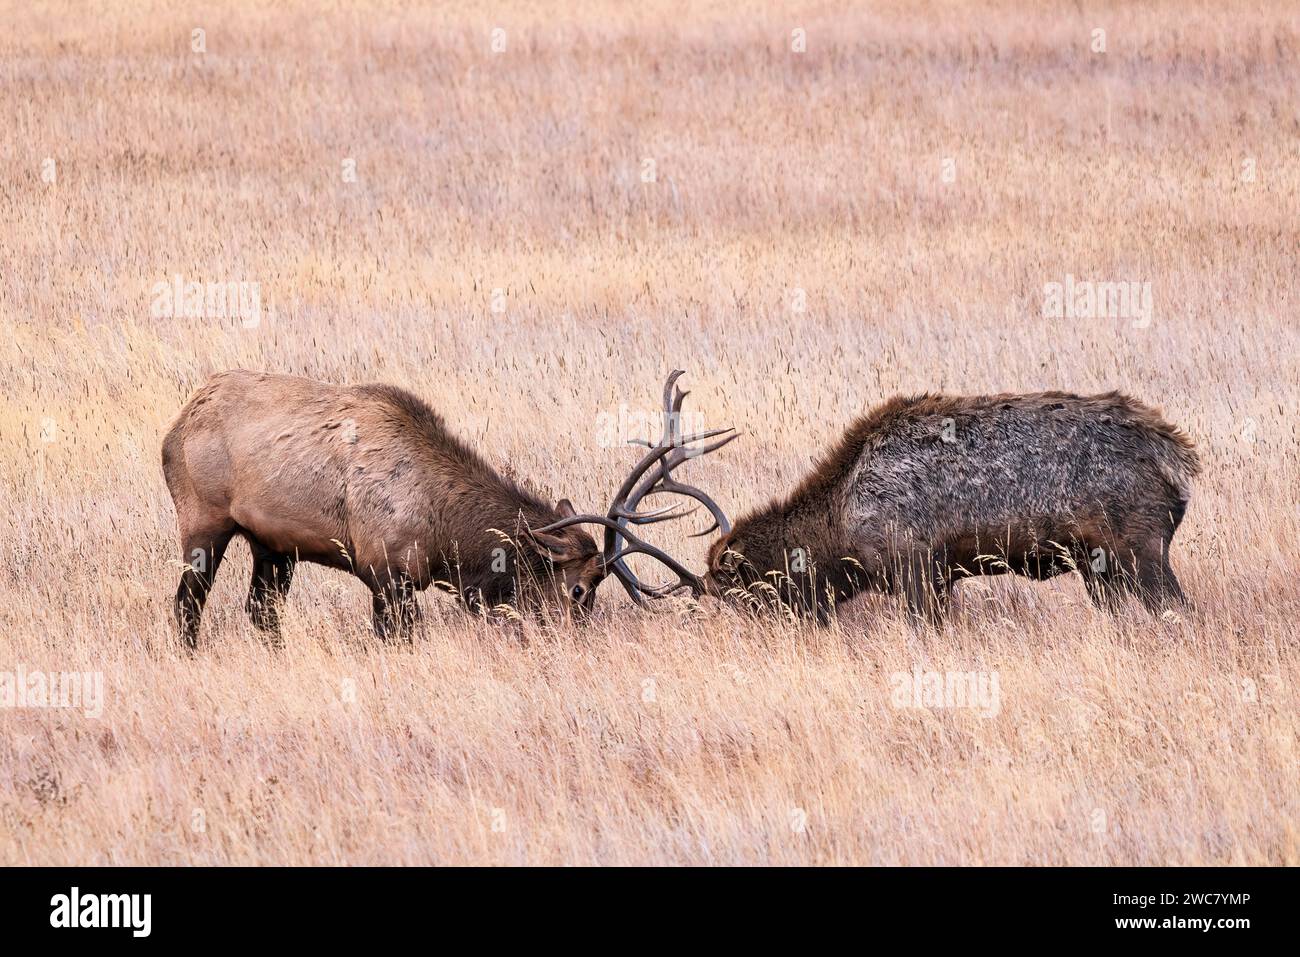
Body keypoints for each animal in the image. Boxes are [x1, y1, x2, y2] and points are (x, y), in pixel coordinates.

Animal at [161, 370, 734, 647]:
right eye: (578, 590)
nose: (575, 640)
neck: (448, 542)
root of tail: (175, 426)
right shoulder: (385, 574)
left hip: (273, 546)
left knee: (261, 611)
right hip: (203, 518)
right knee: (187, 603)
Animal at [543, 389, 1201, 626]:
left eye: (743, 594)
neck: (838, 531)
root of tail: (1180, 459)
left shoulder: (915, 570)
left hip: (1141, 548)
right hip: (1101, 566)